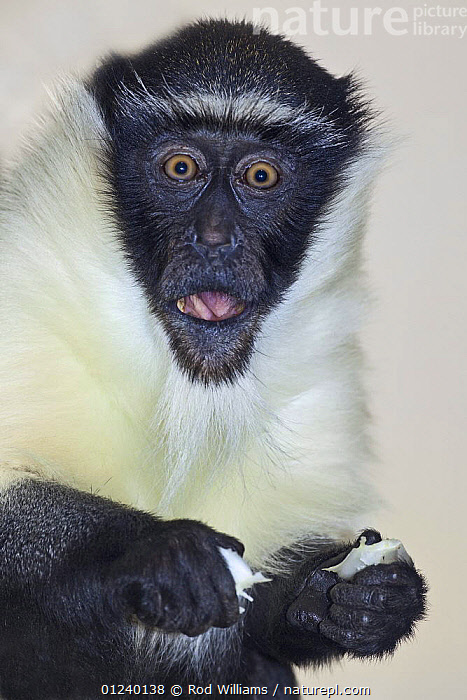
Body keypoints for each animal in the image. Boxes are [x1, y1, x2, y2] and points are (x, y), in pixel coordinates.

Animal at [0, 18, 426, 700]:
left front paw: (357, 600)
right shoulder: (21, 284)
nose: (215, 239)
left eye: (261, 178)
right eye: (181, 167)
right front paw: (161, 549)